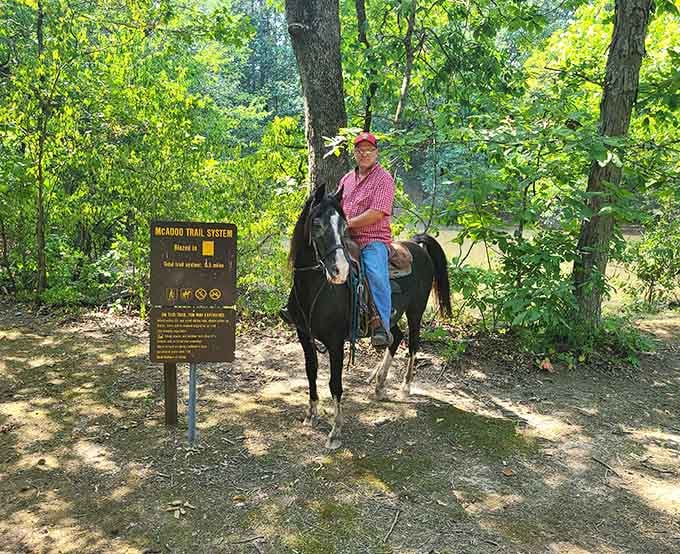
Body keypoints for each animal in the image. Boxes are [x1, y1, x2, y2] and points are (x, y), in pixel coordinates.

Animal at [286, 184, 452, 449]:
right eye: (317, 223)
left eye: (344, 226)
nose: (340, 271)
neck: (314, 289)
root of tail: (416, 243)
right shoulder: (304, 335)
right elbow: (311, 372)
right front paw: (311, 414)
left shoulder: (335, 342)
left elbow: (335, 383)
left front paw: (335, 431)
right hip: (388, 317)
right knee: (395, 338)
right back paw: (379, 383)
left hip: (416, 311)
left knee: (413, 343)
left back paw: (405, 386)